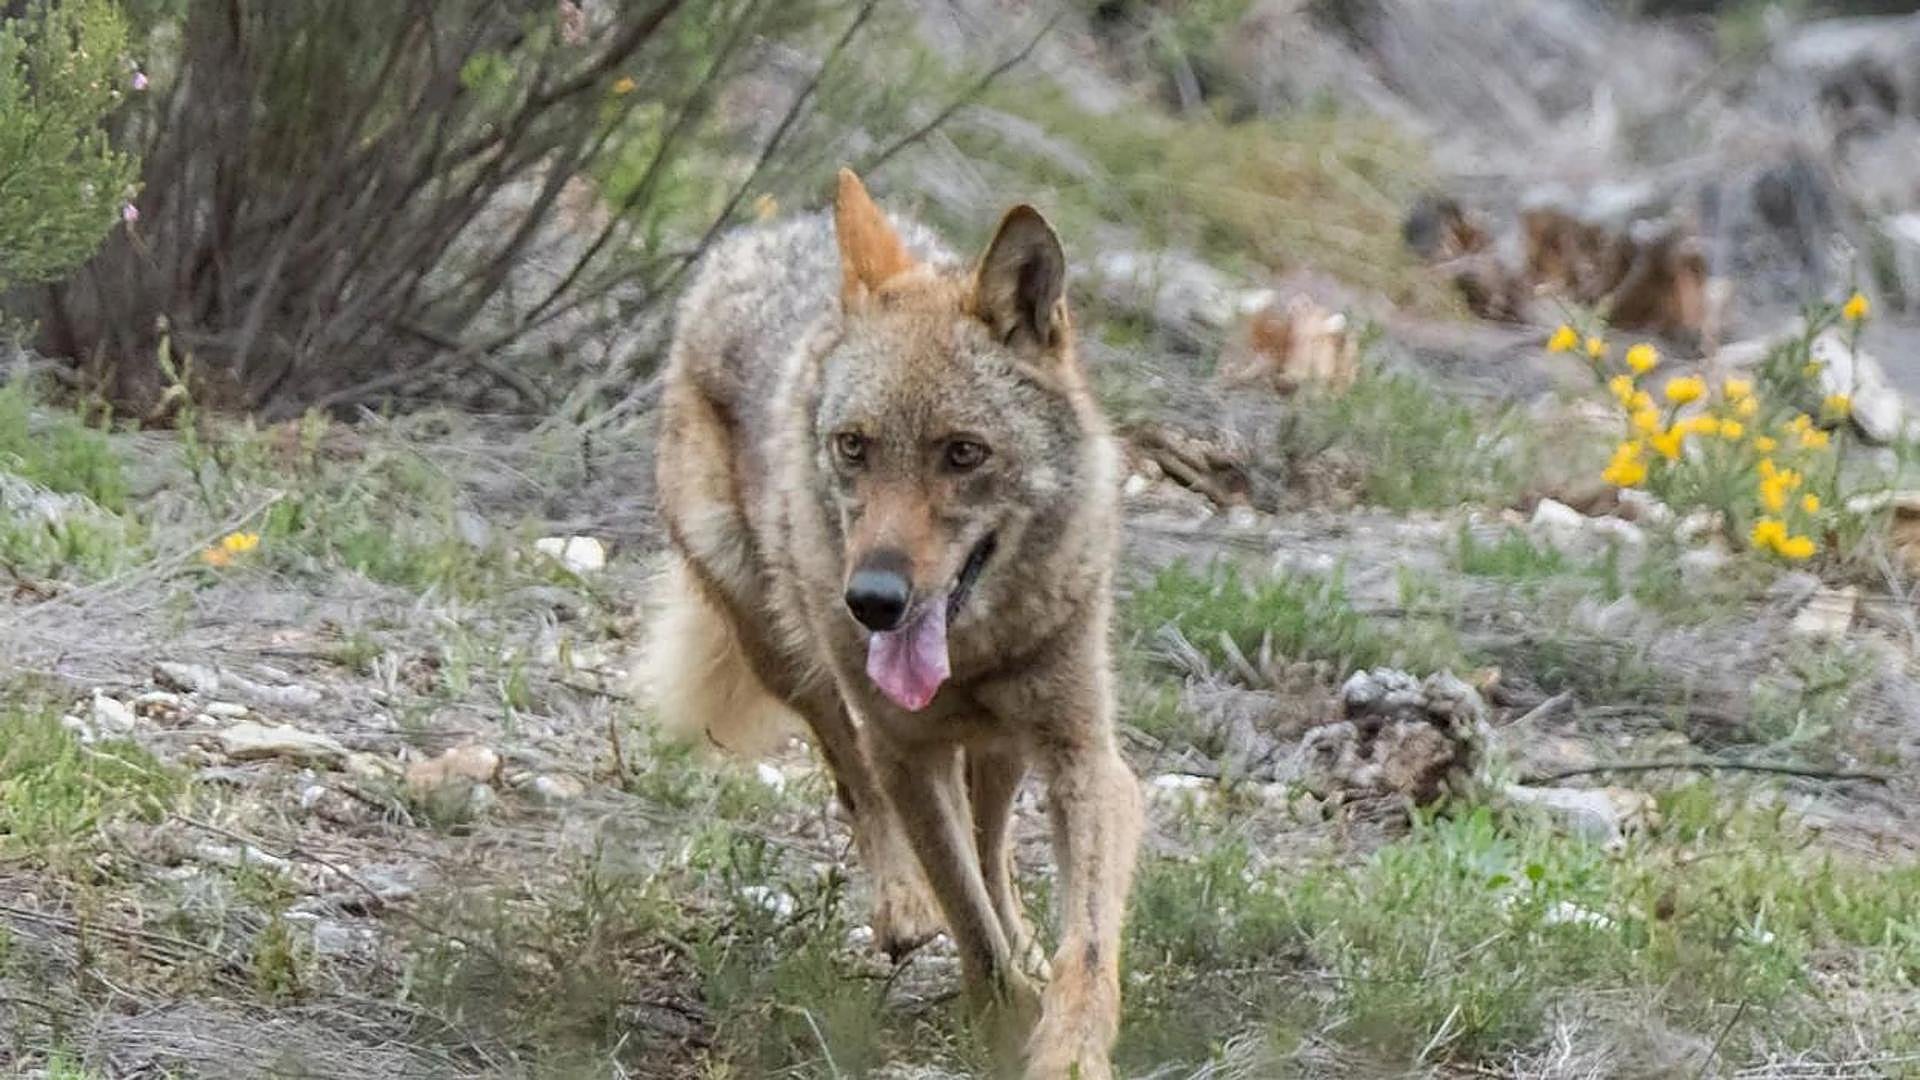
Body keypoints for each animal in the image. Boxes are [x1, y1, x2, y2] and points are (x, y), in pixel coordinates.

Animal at [641, 169, 1143, 1078]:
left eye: (963, 453)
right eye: (854, 446)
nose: (872, 599)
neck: (976, 651)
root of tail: (765, 237)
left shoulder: (1085, 758)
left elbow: (1082, 943)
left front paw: (1066, 1047)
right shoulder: (906, 750)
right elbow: (967, 920)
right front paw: (1002, 1020)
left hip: (1002, 747)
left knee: (991, 849)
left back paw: (1021, 939)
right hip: (789, 656)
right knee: (855, 778)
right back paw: (906, 908)